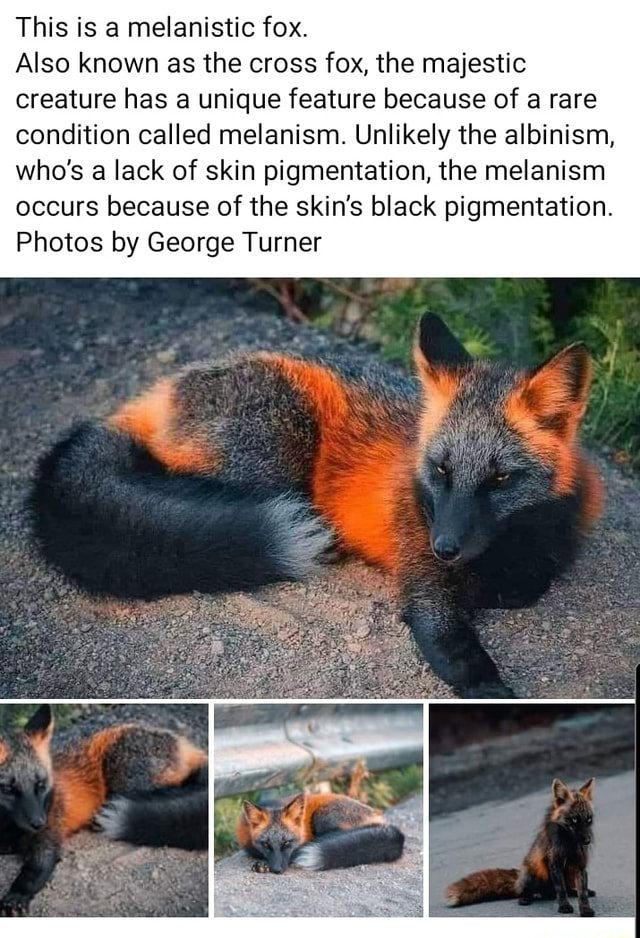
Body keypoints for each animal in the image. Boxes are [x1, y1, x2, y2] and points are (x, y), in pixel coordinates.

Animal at [0, 705, 208, 916]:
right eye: (8, 789)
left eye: (40, 784)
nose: (38, 822)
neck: (8, 830)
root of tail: (182, 742)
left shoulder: (48, 838)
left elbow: (32, 873)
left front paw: (16, 897)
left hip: (126, 778)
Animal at [31, 312, 603, 698]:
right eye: (441, 470)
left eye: (501, 478)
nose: (445, 547)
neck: (509, 545)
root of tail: (161, 388)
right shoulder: (422, 576)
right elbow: (455, 647)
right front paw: (489, 689)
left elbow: (531, 582)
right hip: (278, 450)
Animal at [445, 777, 596, 916]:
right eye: (574, 820)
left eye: (589, 820)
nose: (588, 841)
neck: (569, 844)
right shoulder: (555, 864)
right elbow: (561, 890)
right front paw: (564, 906)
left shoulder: (580, 865)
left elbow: (582, 893)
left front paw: (585, 909)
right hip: (532, 874)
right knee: (526, 893)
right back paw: (526, 898)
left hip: (569, 875)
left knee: (568, 889)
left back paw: (577, 892)